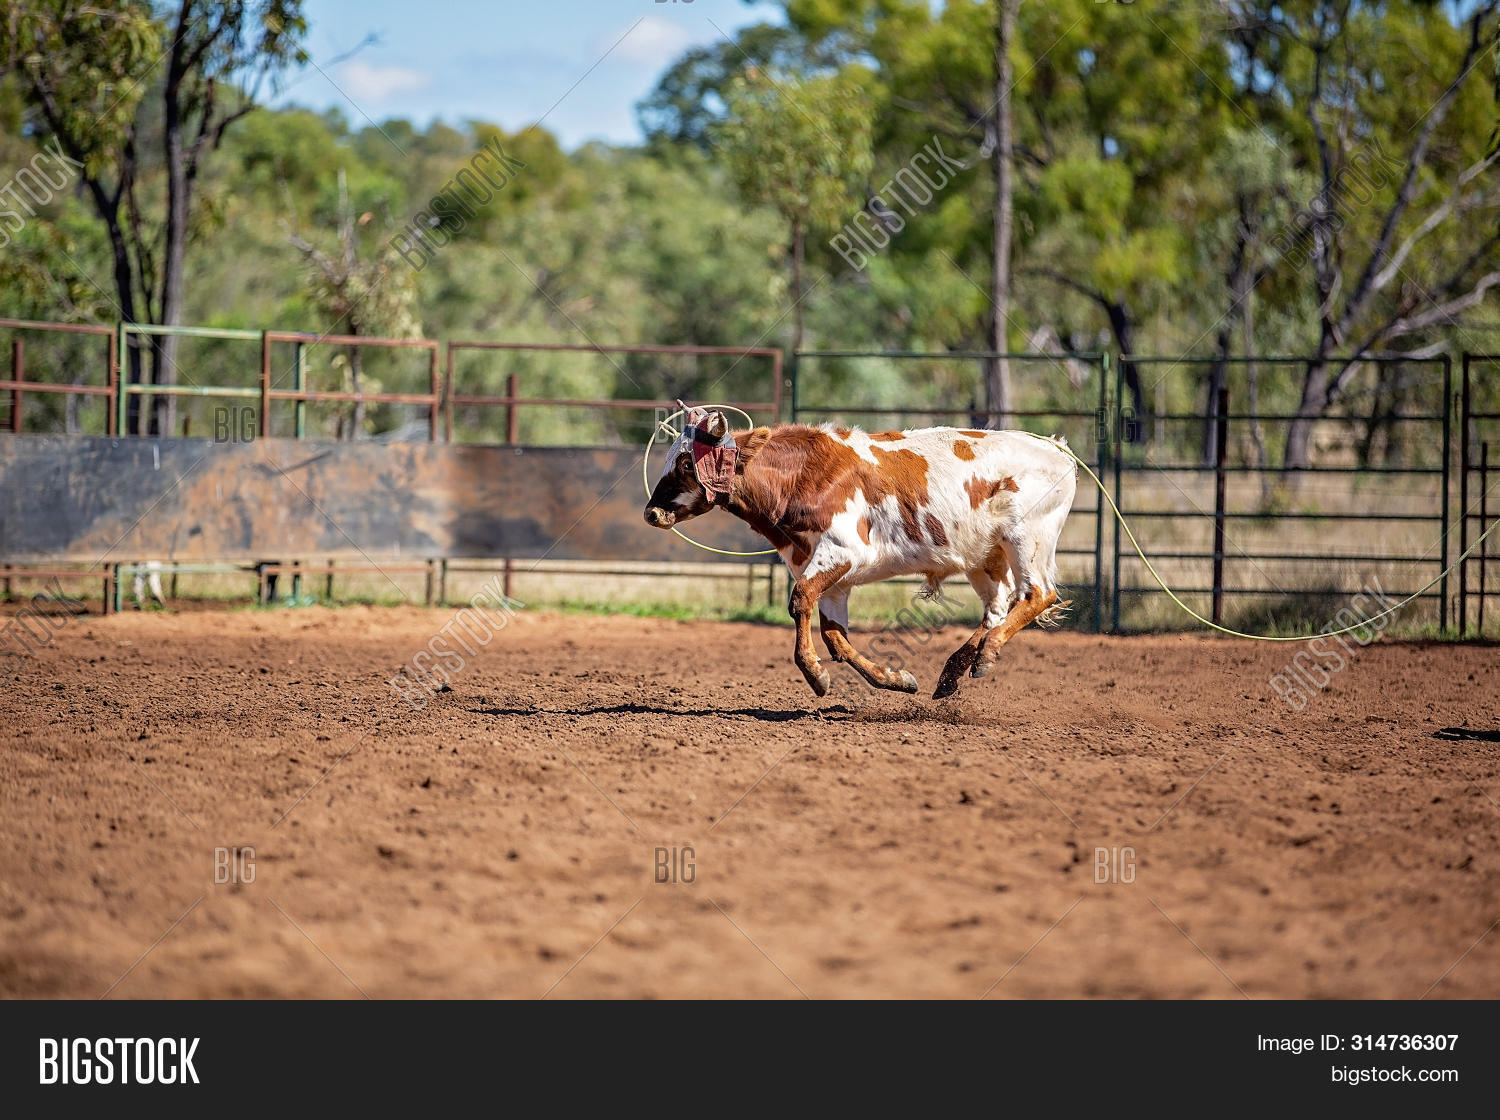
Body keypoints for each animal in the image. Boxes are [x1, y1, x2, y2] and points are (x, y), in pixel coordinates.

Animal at [644, 403, 1076, 700]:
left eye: (686, 463)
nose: (652, 512)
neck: (803, 475)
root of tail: (1057, 451)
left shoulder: (842, 551)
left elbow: (799, 601)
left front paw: (814, 674)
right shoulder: (829, 578)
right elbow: (835, 635)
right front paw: (895, 679)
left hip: (1027, 538)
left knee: (1038, 594)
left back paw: (985, 656)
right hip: (985, 557)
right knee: (998, 608)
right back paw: (953, 672)